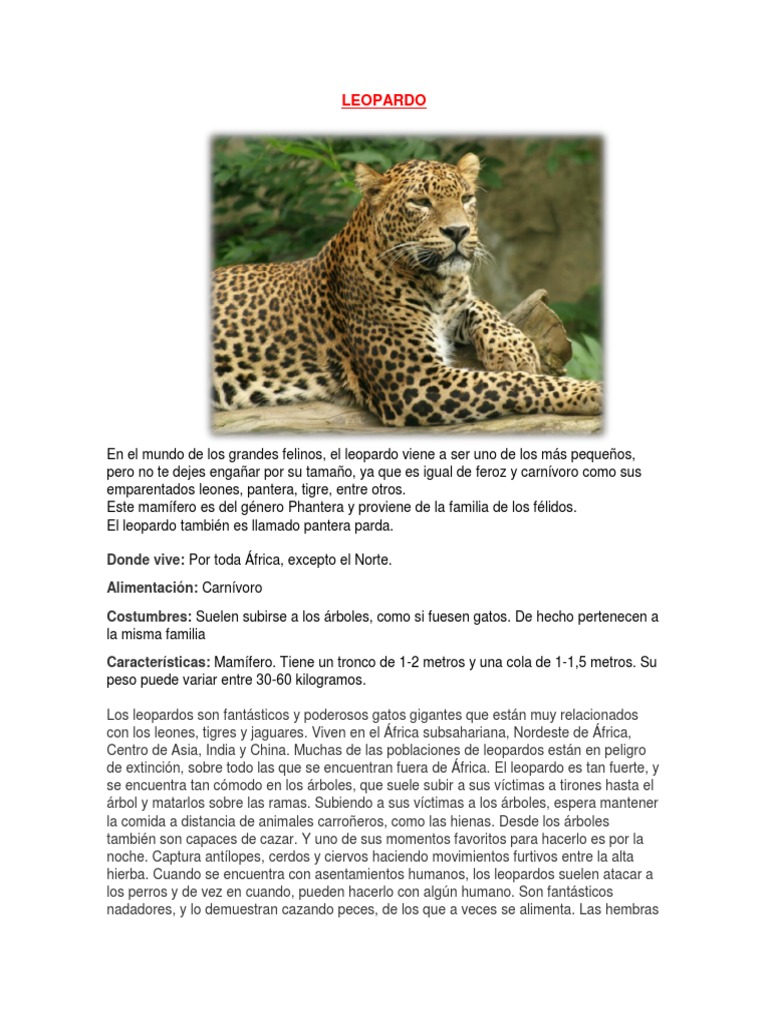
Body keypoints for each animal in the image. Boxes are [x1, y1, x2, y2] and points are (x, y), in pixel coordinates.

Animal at [212, 153, 602, 427]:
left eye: (466, 197)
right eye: (420, 202)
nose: (458, 231)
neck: (434, 282)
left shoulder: (455, 305)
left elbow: (480, 304)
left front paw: (512, 346)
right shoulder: (416, 382)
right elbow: (516, 384)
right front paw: (588, 389)